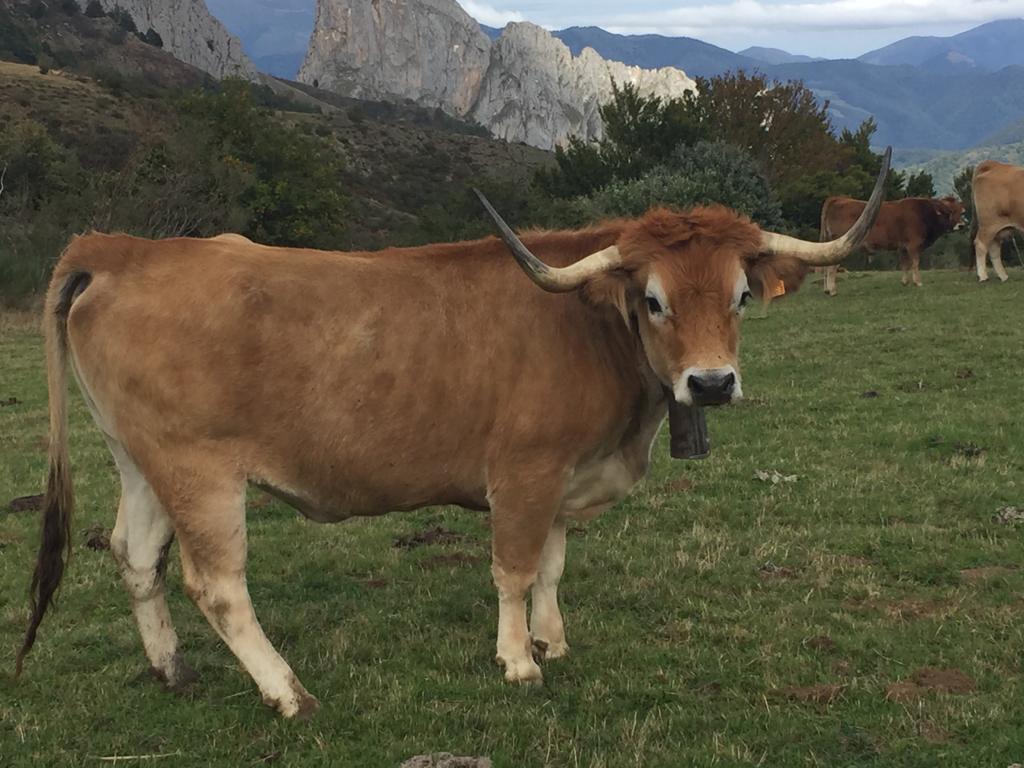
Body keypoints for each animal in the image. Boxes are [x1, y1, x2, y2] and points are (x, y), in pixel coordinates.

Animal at [15, 153, 889, 718]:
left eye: (741, 295)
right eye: (653, 300)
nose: (709, 384)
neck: (585, 326)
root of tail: (124, 246)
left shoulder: (563, 479)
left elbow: (551, 567)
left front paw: (551, 640)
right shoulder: (525, 473)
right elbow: (513, 568)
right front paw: (518, 660)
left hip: (140, 459)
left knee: (135, 555)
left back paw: (172, 670)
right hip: (197, 471)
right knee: (219, 584)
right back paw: (287, 692)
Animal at [820, 195, 965, 295]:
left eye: (960, 211)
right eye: (950, 212)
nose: (961, 225)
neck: (924, 213)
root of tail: (838, 198)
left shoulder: (903, 248)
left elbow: (905, 264)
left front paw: (905, 282)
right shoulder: (913, 245)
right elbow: (915, 263)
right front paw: (918, 282)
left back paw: (826, 289)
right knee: (832, 267)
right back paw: (832, 290)